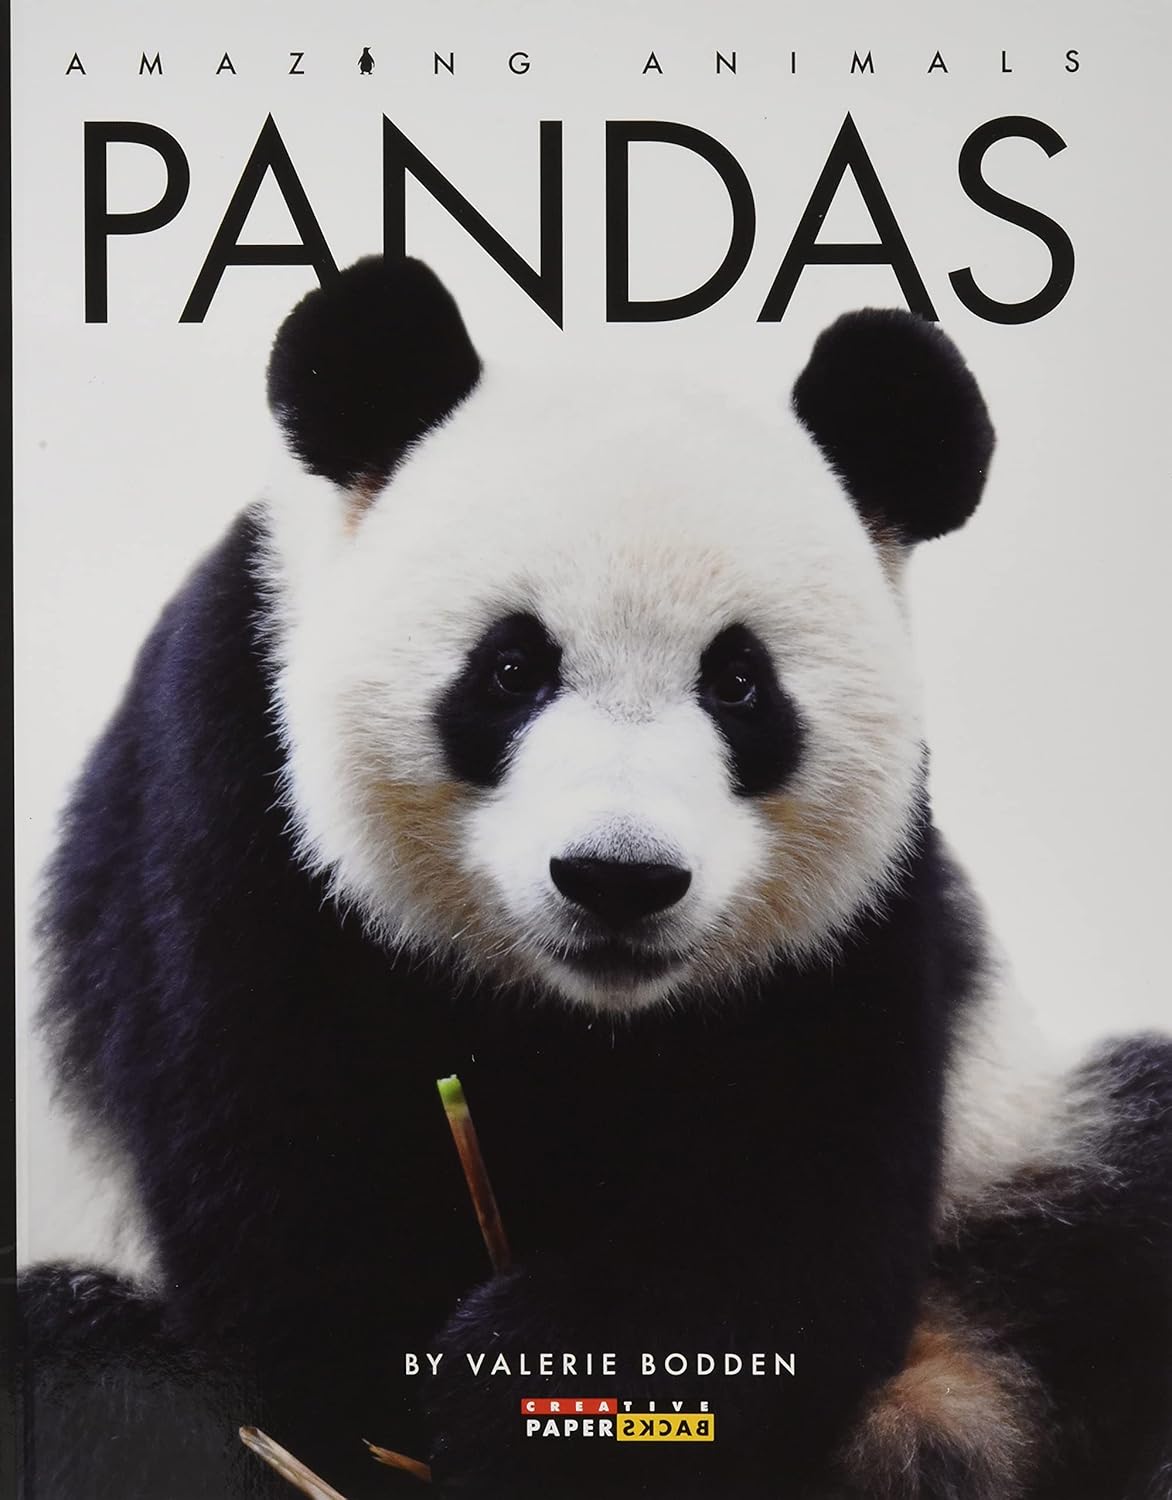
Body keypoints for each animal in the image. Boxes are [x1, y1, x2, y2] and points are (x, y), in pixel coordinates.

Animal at [19, 256, 1172, 1500]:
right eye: (511, 667)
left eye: (737, 683)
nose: (617, 880)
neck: (576, 1015)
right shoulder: (229, 811)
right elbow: (290, 1235)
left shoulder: (854, 925)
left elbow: (804, 1221)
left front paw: (540, 1375)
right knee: (92, 1378)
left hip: (1023, 1152)